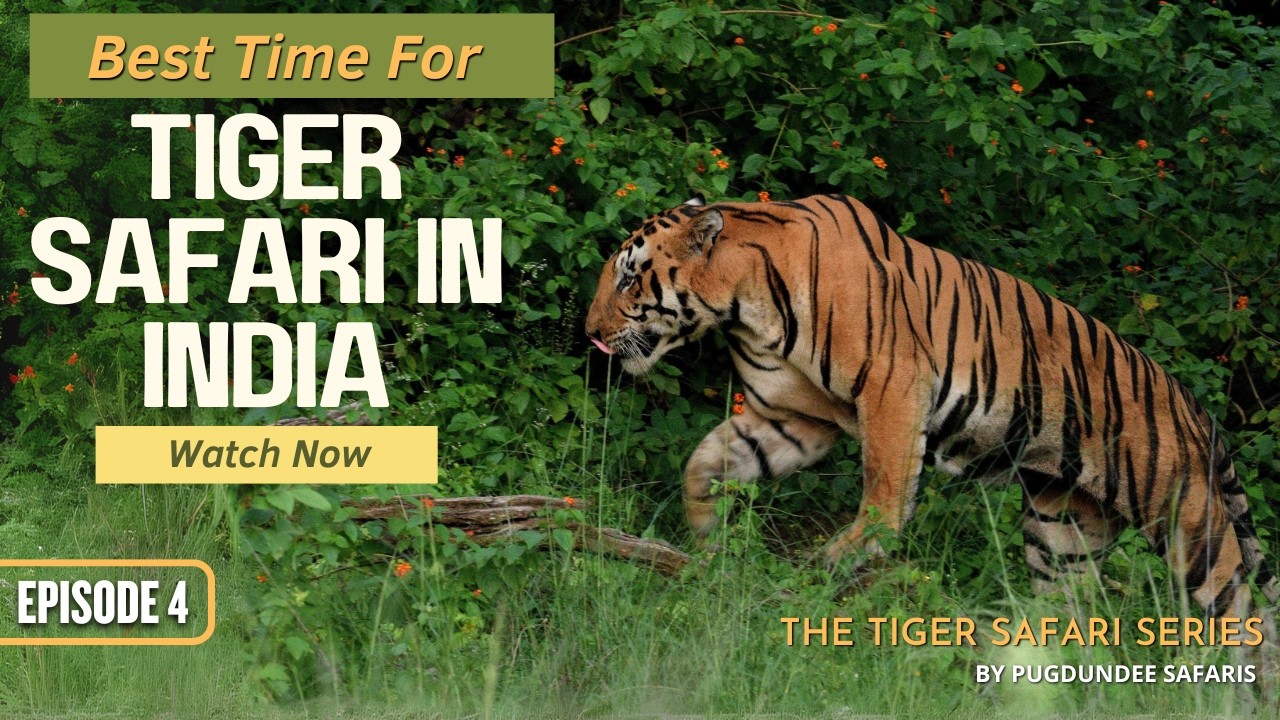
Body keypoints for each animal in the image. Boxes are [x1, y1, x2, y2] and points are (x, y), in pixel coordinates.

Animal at [584, 193, 1278, 620]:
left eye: (628, 276)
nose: (589, 332)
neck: (740, 308)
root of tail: (1194, 408)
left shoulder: (893, 386)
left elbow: (885, 492)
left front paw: (830, 564)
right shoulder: (797, 418)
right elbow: (704, 464)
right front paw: (709, 546)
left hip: (1188, 520)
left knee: (1242, 611)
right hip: (1064, 532)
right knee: (1070, 614)